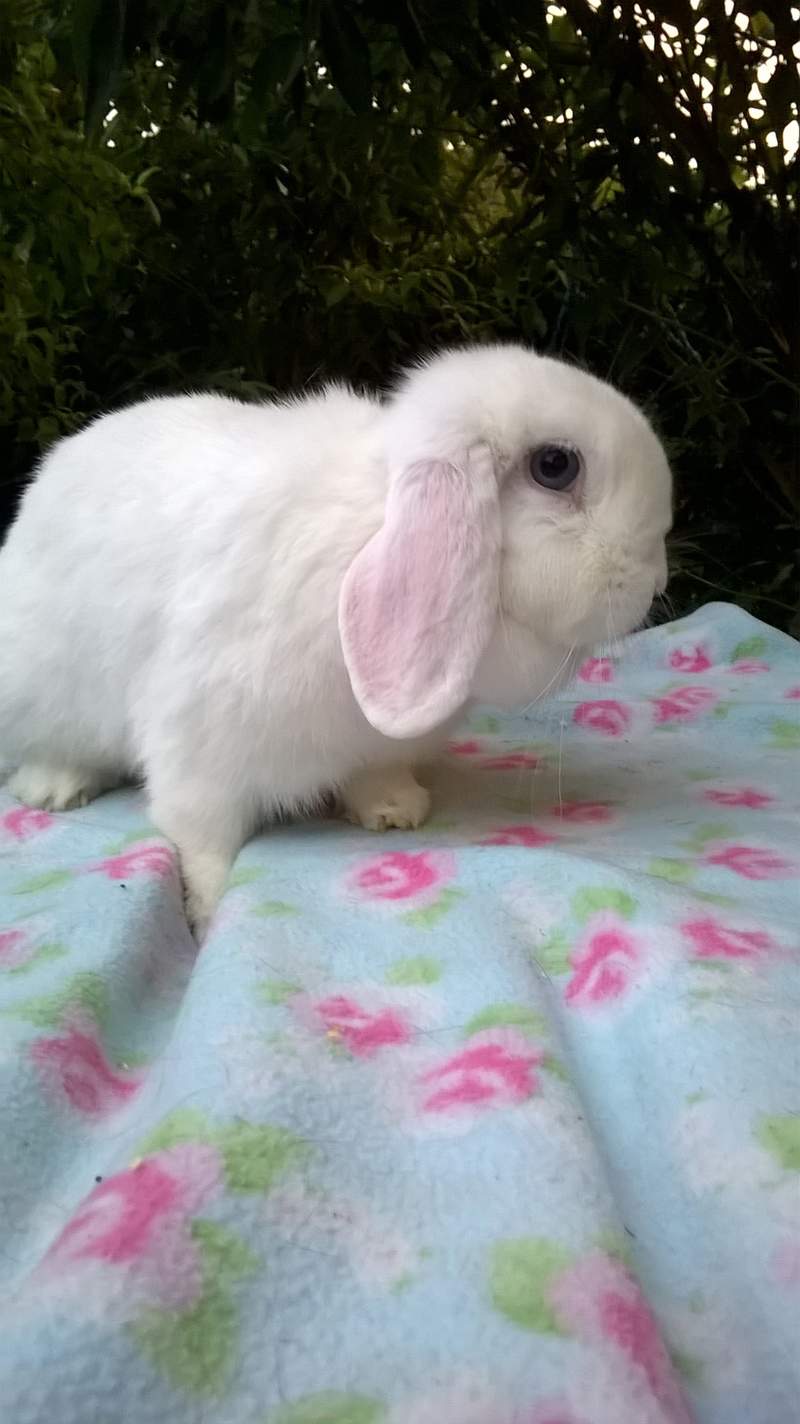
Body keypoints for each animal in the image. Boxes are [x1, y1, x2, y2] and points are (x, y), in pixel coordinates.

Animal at [0, 343, 671, 937]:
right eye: (555, 466)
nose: (657, 578)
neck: (372, 526)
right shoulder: (198, 751)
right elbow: (200, 838)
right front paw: (206, 913)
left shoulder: (373, 745)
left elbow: (375, 774)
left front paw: (394, 811)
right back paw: (56, 788)